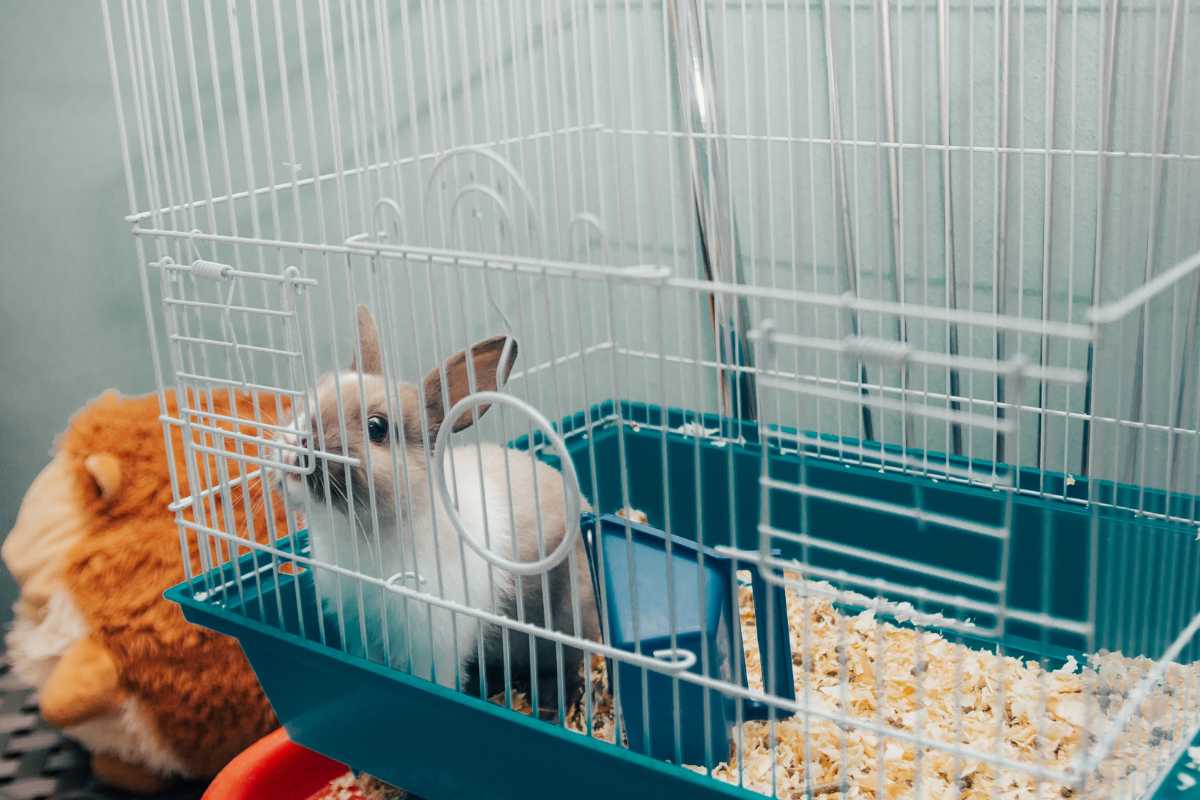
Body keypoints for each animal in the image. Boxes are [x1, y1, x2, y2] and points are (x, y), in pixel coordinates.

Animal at [278, 305, 599, 718]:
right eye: (311, 396)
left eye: (377, 427)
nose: (296, 451)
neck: (364, 529)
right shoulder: (362, 633)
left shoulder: (434, 644)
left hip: (567, 620)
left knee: (566, 666)